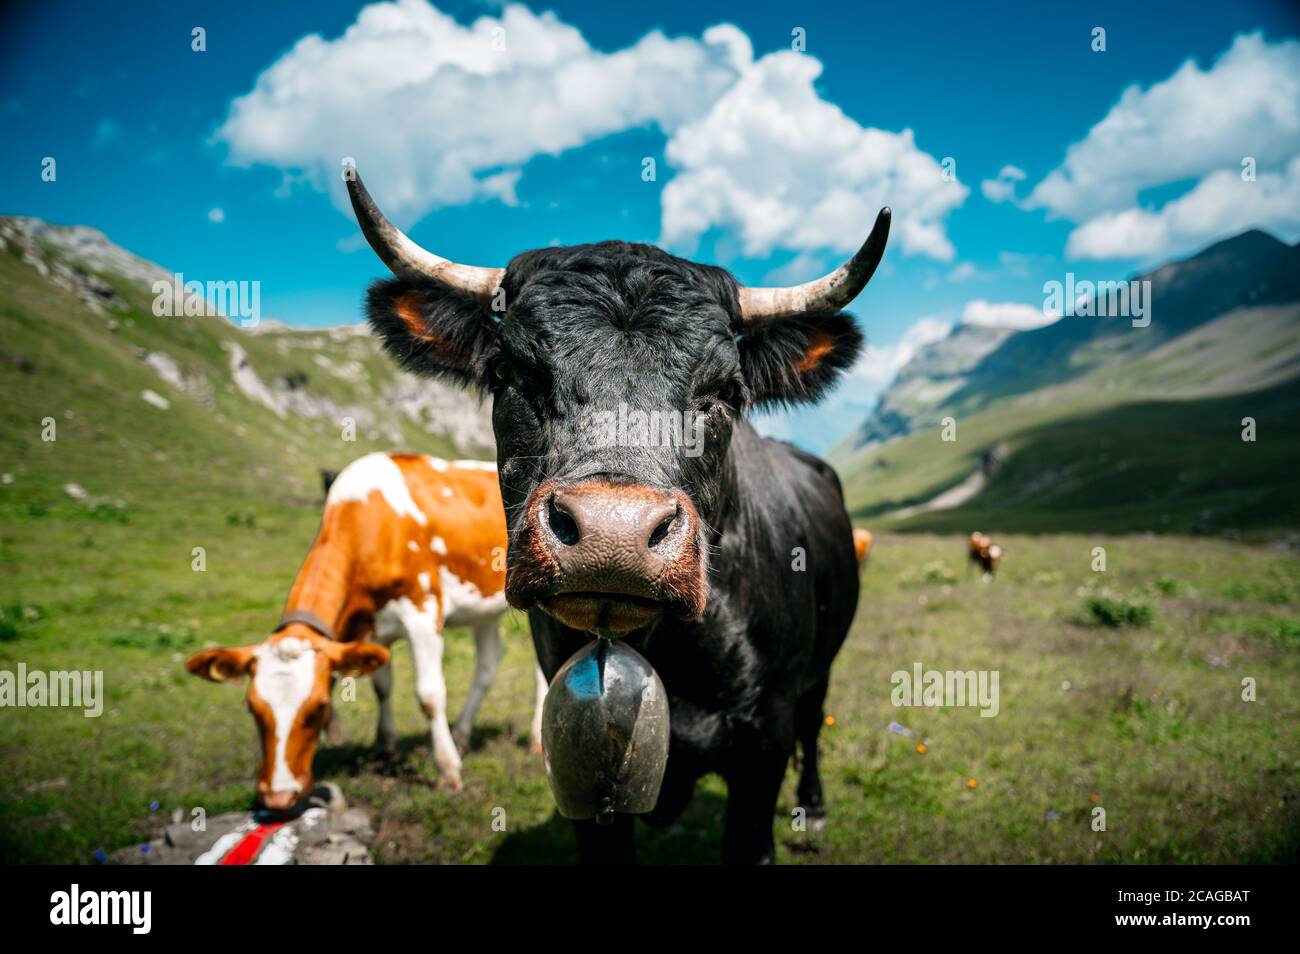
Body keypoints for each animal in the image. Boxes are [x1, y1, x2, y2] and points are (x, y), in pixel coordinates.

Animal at [187, 451, 547, 808]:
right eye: (252, 708)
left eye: (319, 708)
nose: (278, 796)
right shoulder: (374, 627)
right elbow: (382, 686)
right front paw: (384, 748)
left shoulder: (423, 610)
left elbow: (429, 696)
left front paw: (447, 770)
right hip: (483, 610)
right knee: (488, 664)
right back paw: (461, 734)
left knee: (540, 666)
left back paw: (536, 740)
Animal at [346, 168, 890, 863]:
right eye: (508, 371)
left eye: (727, 391)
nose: (614, 537)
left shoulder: (763, 742)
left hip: (820, 665)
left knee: (815, 721)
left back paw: (814, 807)